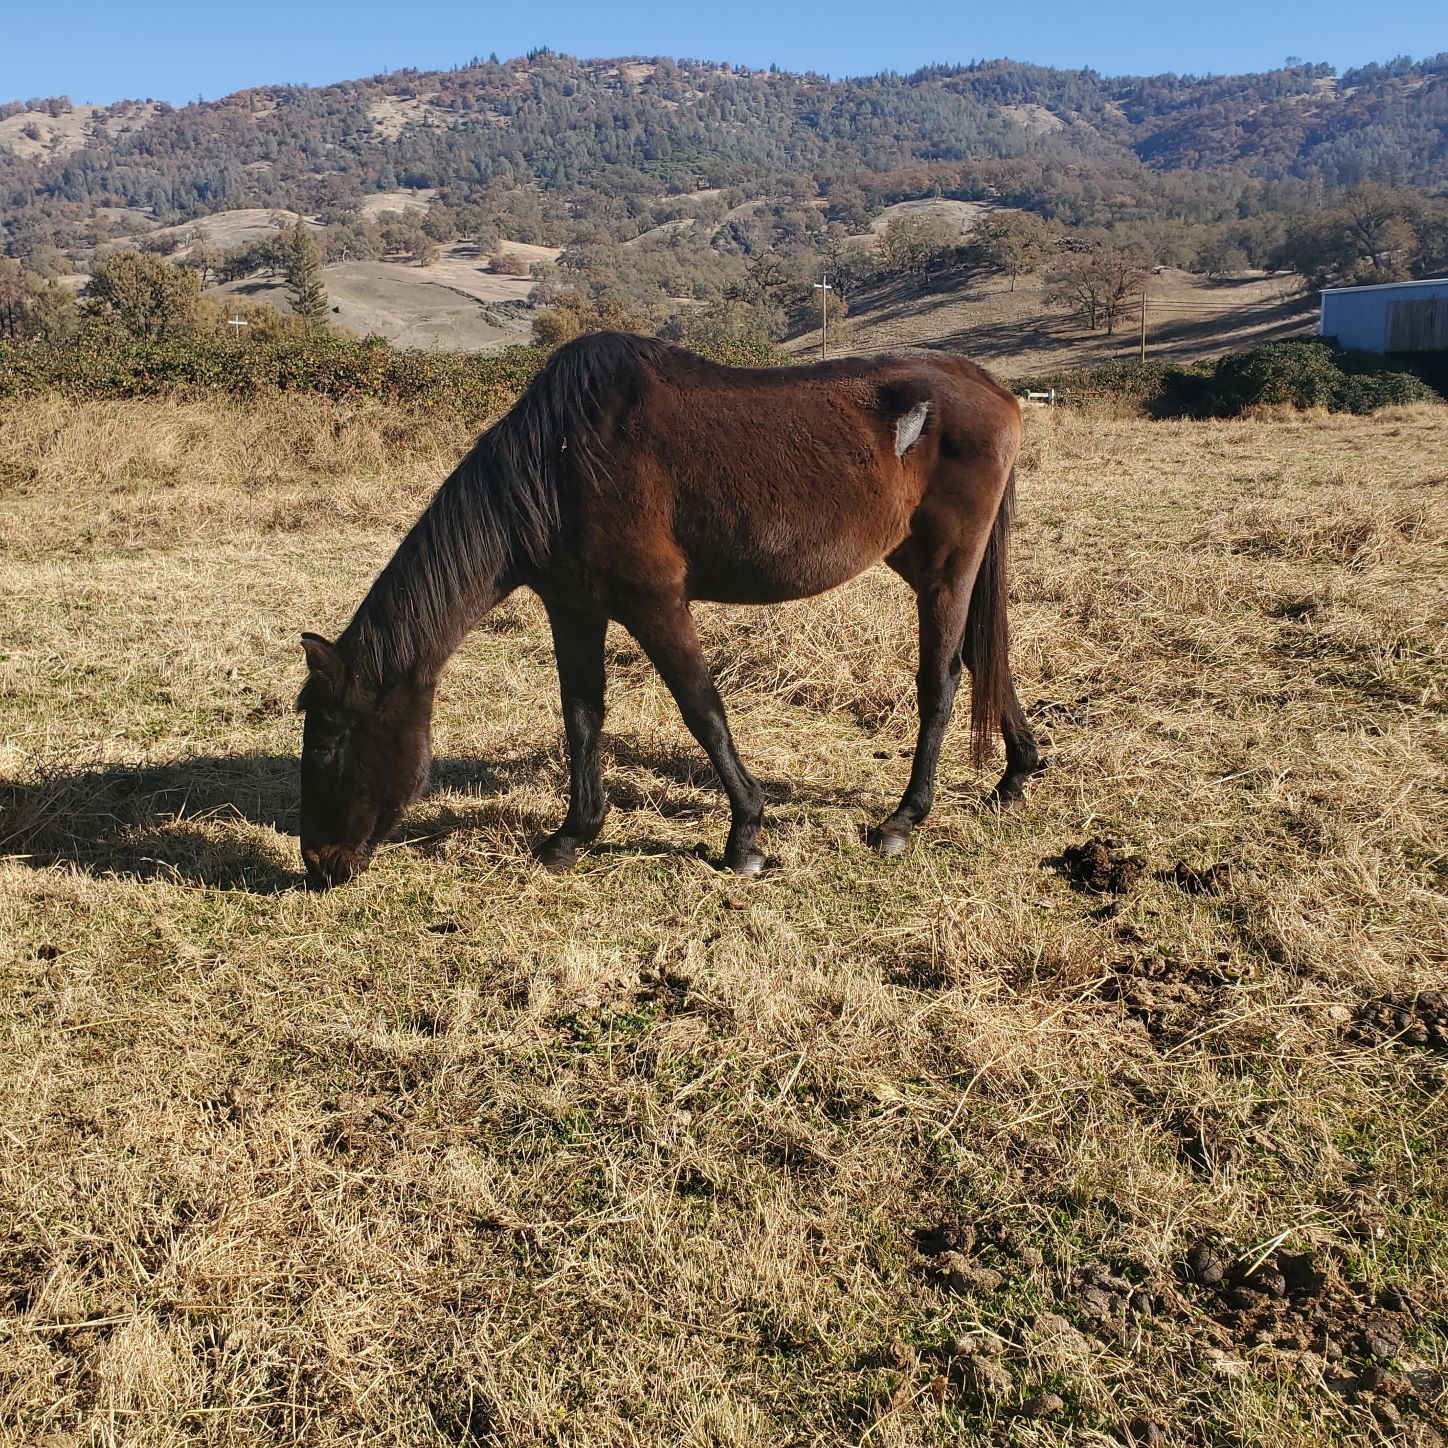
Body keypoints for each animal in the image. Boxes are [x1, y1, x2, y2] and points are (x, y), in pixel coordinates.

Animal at [296, 331, 1041, 889]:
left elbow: (702, 711)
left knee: (943, 677)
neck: (560, 463)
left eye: (329, 739)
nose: (320, 865)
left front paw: (744, 835)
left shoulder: (655, 603)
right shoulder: (573, 608)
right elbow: (582, 717)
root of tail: (993, 388)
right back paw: (1017, 772)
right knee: (986, 655)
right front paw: (572, 835)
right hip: (916, 559)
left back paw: (903, 820)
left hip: (948, 565)